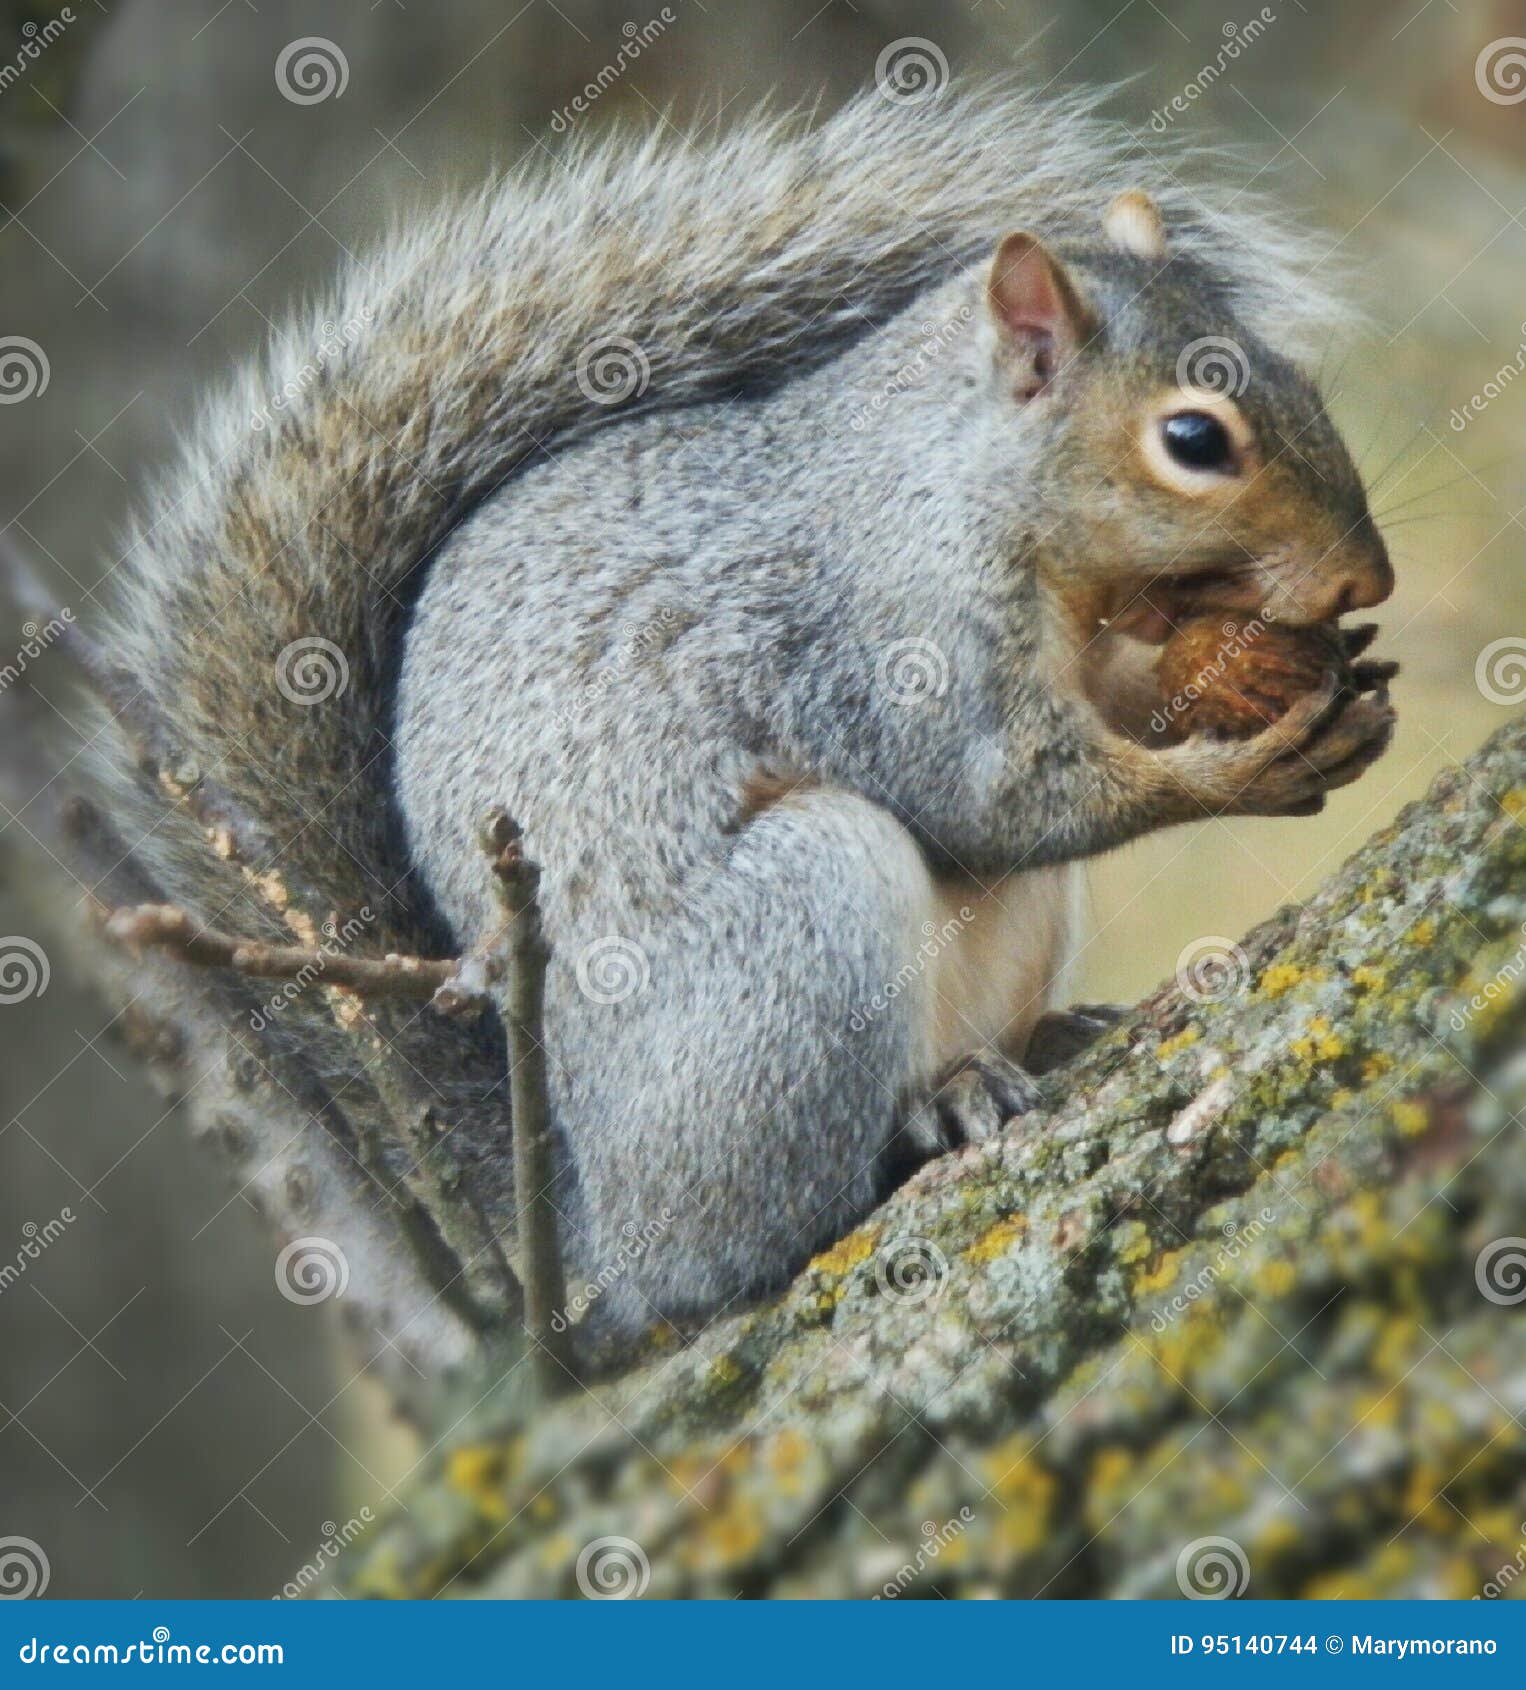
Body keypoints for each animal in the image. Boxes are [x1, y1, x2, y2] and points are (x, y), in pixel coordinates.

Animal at [99, 86, 1395, 1352]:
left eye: (1300, 384)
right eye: (1192, 439)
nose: (1364, 578)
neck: (961, 484)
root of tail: (593, 1225)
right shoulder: (894, 645)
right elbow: (997, 801)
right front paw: (1253, 760)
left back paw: (1042, 1040)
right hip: (798, 924)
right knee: (768, 1227)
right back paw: (927, 1114)